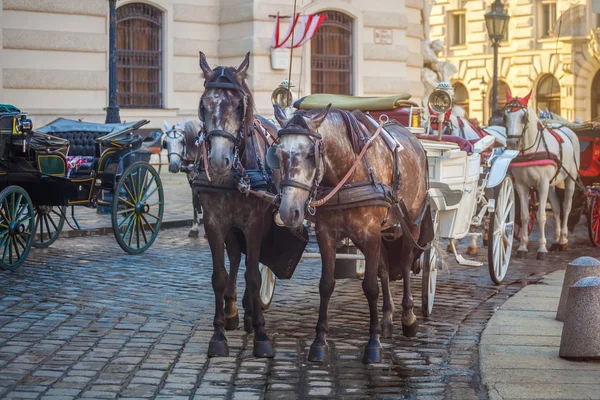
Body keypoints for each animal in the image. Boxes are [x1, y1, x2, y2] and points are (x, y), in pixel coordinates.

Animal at [198, 51, 280, 358]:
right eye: (204, 105)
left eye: (237, 106)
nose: (218, 161)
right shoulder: (213, 222)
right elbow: (219, 276)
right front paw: (219, 333)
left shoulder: (255, 223)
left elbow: (255, 275)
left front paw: (261, 334)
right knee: (235, 257)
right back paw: (234, 310)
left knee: (252, 263)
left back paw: (249, 312)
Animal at [270, 104, 432, 364]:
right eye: (278, 154)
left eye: (310, 154)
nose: (288, 211)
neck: (347, 174)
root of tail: (415, 141)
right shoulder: (327, 235)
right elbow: (326, 285)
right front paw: (319, 342)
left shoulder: (370, 234)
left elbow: (370, 287)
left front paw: (373, 344)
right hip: (385, 232)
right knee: (384, 269)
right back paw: (387, 318)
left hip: (411, 224)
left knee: (406, 264)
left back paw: (408, 318)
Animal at [502, 90, 580, 260]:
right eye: (505, 116)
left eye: (523, 117)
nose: (512, 144)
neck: (530, 151)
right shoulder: (521, 185)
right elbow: (525, 215)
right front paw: (523, 247)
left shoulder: (542, 184)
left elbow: (541, 216)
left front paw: (541, 249)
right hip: (551, 184)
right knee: (556, 208)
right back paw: (556, 240)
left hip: (569, 179)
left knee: (566, 205)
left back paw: (563, 239)